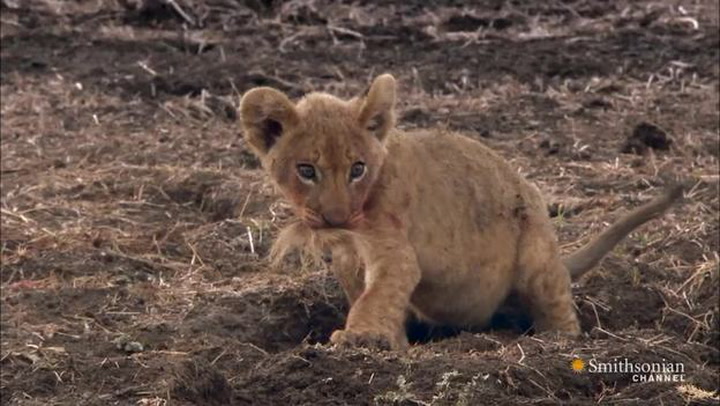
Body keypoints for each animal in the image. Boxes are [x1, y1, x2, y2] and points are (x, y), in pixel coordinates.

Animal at [239, 73, 683, 350]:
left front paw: (357, 338)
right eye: (306, 170)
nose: (336, 218)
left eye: (357, 169)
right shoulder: (349, 259)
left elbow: (377, 295)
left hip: (537, 251)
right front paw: (393, 344)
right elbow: (375, 299)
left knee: (555, 302)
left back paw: (557, 342)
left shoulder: (396, 252)